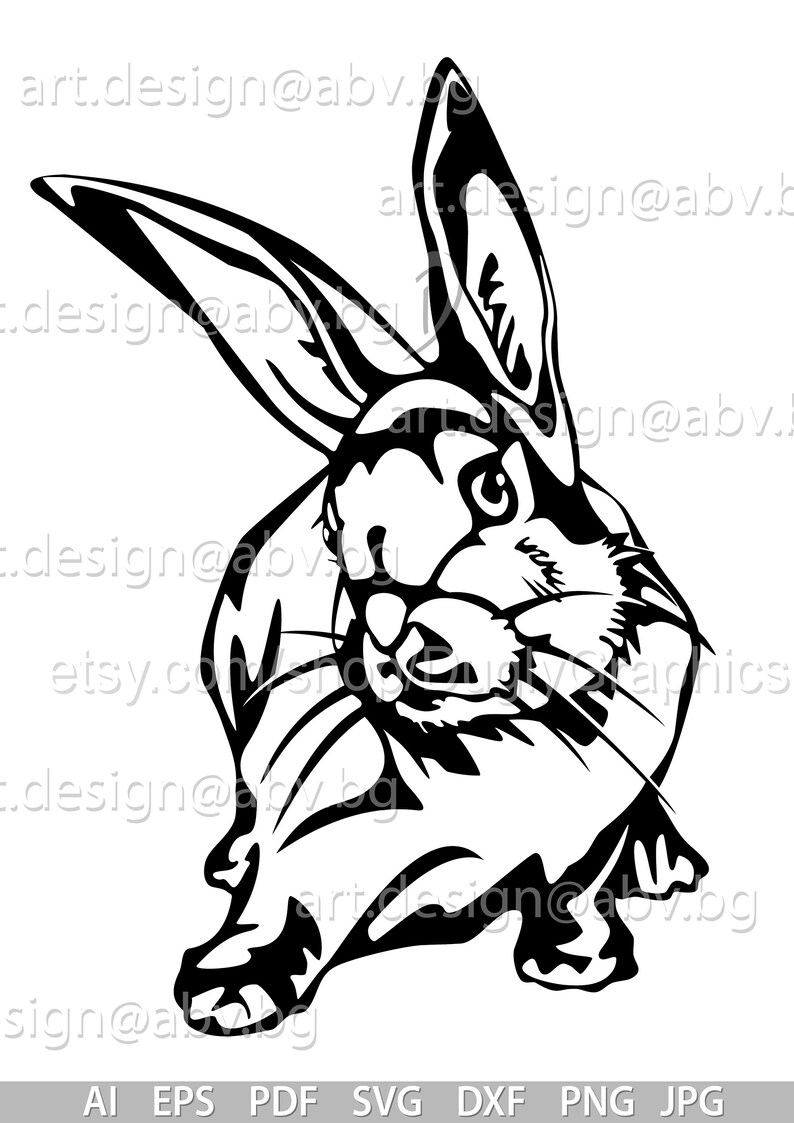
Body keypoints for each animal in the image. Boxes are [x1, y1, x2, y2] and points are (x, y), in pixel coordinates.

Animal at [33, 58, 708, 1035]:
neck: (507, 732)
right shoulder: (315, 819)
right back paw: (229, 859)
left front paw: (577, 961)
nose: (390, 631)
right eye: (336, 531)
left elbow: (573, 884)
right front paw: (227, 987)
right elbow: (282, 899)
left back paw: (668, 861)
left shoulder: (590, 824)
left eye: (492, 488)